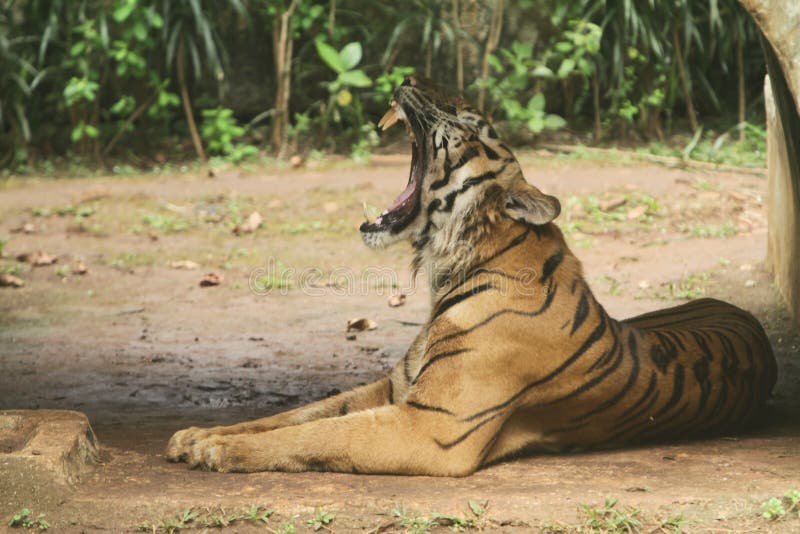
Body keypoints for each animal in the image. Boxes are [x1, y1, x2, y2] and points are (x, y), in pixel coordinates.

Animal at [166, 76, 778, 476]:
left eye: (469, 123)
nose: (409, 77)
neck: (457, 262)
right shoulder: (393, 389)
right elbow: (290, 417)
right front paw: (197, 437)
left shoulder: (430, 426)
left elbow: (317, 432)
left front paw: (219, 453)